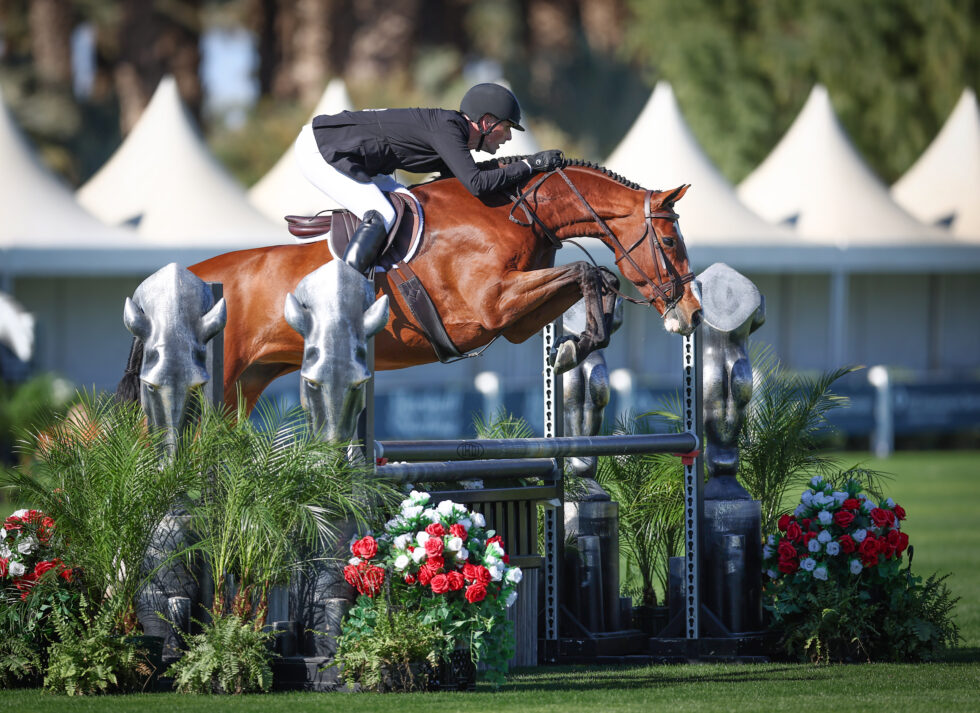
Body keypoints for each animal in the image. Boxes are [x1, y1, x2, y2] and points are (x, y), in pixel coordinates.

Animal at [120, 160, 701, 415]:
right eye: (672, 239)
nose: (693, 314)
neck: (514, 210)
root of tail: (167, 284)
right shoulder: (492, 307)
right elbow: (588, 272)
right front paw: (577, 345)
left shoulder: (514, 320)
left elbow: (595, 276)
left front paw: (578, 343)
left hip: (244, 386)